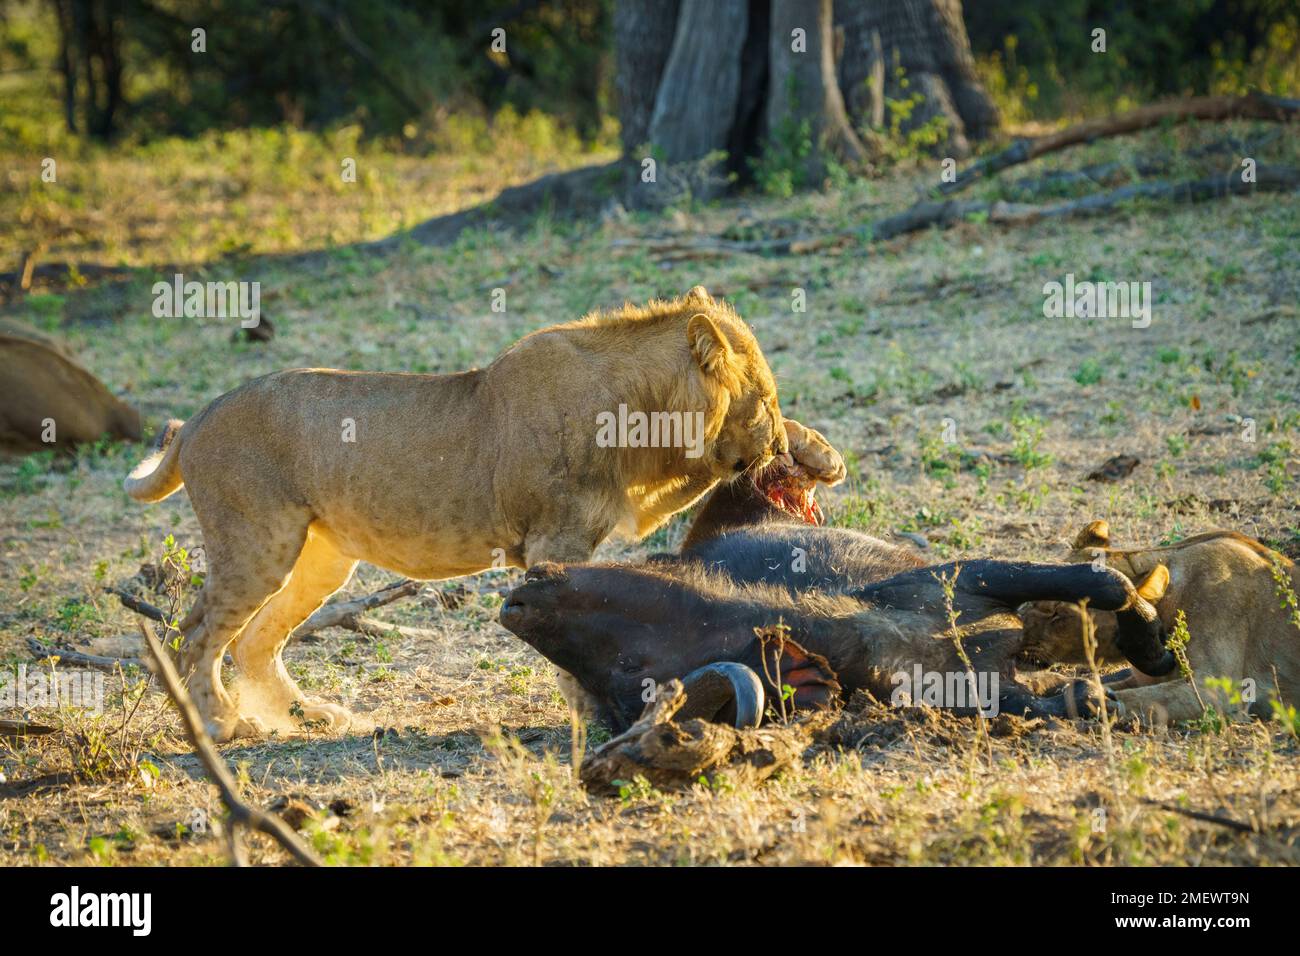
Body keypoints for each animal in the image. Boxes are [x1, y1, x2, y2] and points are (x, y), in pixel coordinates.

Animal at [123, 286, 795, 740]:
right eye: (765, 400)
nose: (782, 449)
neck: (643, 410)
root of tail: (197, 419)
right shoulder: (557, 540)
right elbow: (570, 637)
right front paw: (591, 716)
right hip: (259, 544)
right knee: (196, 635)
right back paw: (221, 724)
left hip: (320, 559)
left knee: (249, 640)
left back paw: (311, 715)